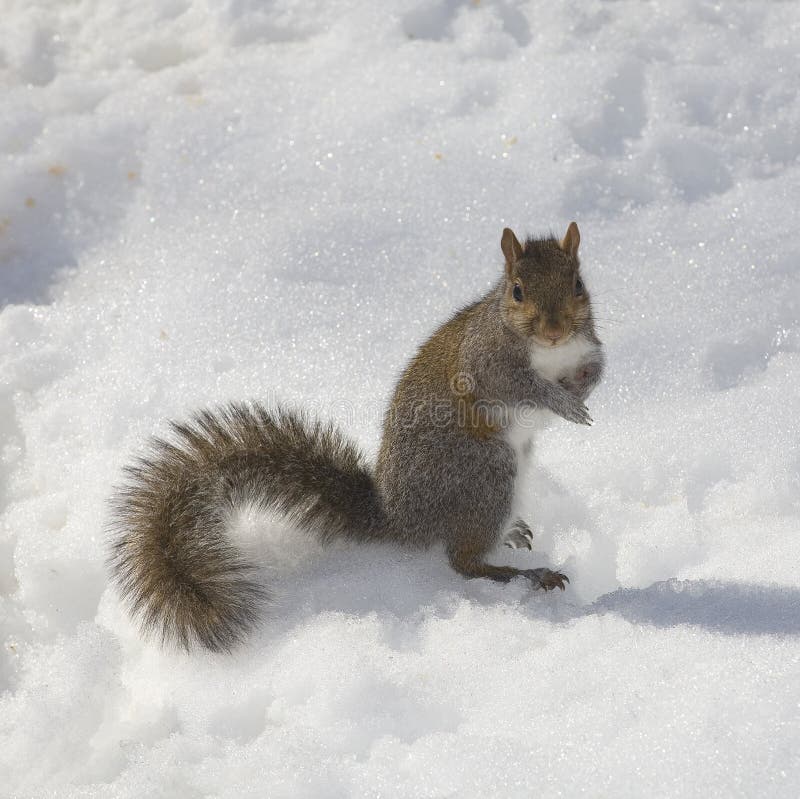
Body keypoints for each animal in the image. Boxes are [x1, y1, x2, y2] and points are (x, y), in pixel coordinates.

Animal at [108, 222, 605, 652]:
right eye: (517, 290)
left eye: (578, 283)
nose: (555, 330)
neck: (550, 354)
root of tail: (401, 518)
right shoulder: (487, 363)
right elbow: (520, 387)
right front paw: (560, 402)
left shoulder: (589, 347)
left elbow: (597, 368)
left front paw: (583, 391)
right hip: (486, 469)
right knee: (464, 562)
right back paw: (527, 574)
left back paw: (514, 534)